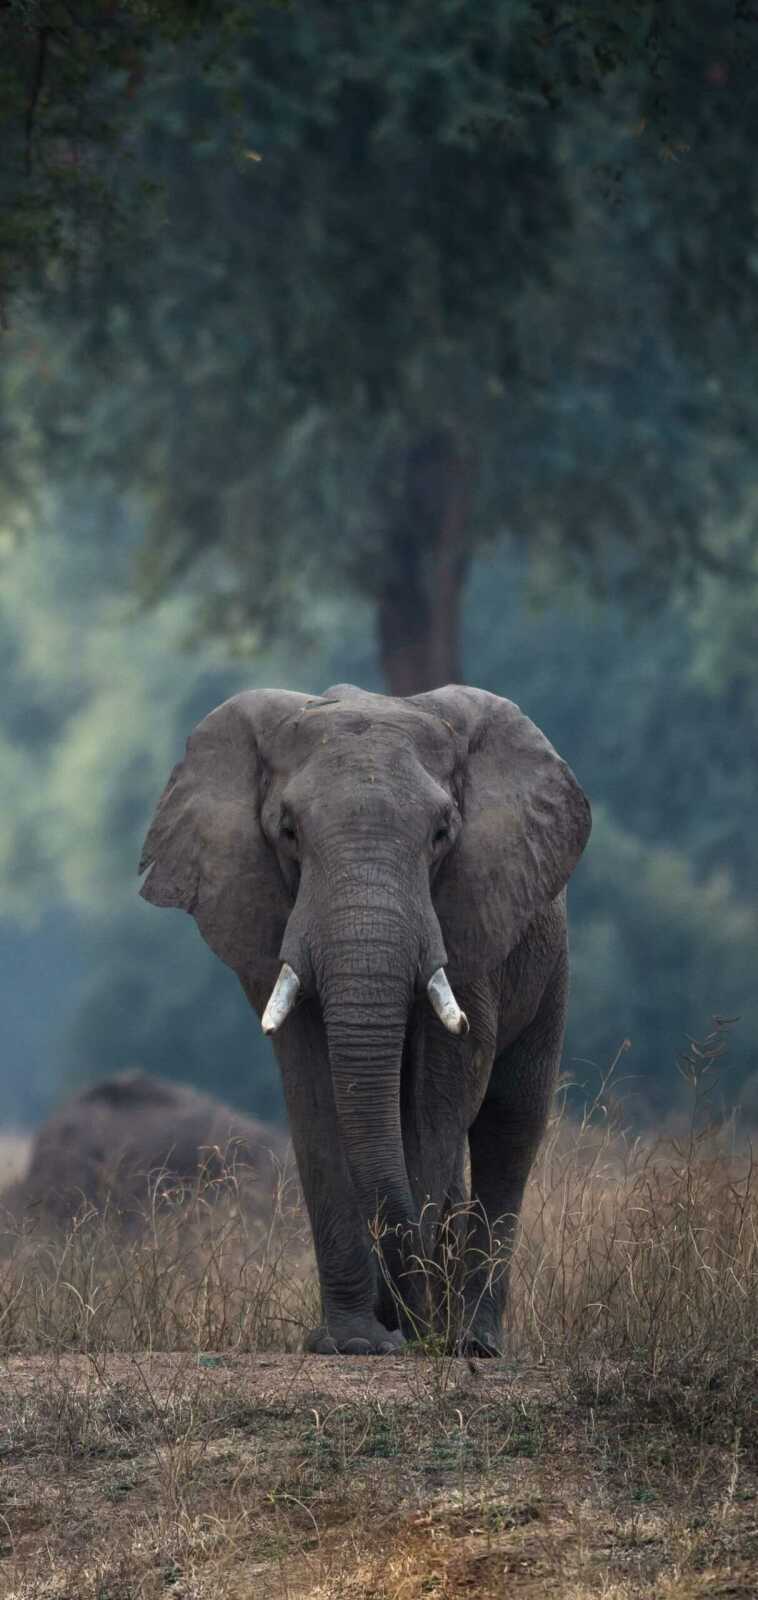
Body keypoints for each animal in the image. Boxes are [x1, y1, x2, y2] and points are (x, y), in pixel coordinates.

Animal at [139, 683, 591, 1355]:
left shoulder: (471, 910)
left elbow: (438, 1093)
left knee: (510, 1121)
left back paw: (470, 1341)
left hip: (548, 956)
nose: (399, 1321)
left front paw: (412, 1325)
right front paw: (353, 1342)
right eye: (288, 831)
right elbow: (314, 1091)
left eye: (441, 833)